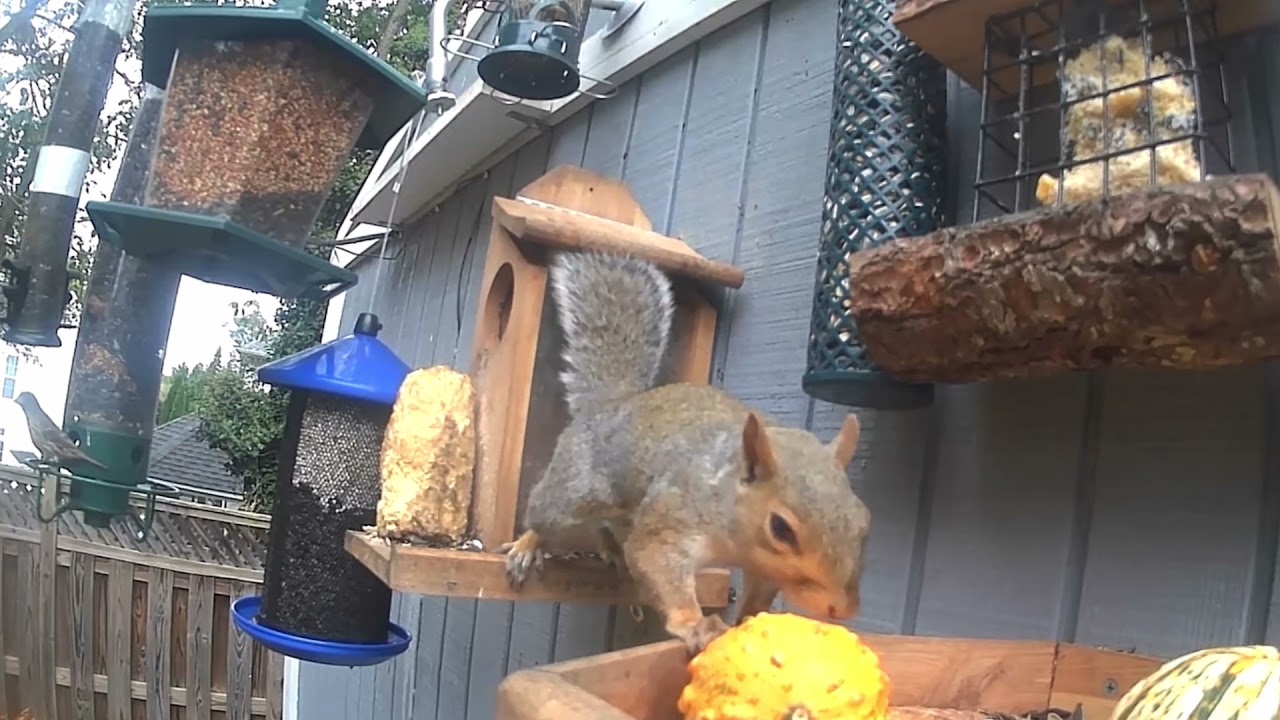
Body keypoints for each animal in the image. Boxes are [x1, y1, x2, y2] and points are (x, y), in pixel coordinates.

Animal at [501, 249, 871, 654]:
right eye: (780, 528)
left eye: (865, 521)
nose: (842, 608)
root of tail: (612, 405)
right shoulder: (674, 513)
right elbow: (656, 560)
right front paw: (695, 624)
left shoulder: (761, 567)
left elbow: (757, 592)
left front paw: (747, 621)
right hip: (576, 487)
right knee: (547, 511)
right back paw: (528, 544)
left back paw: (611, 550)